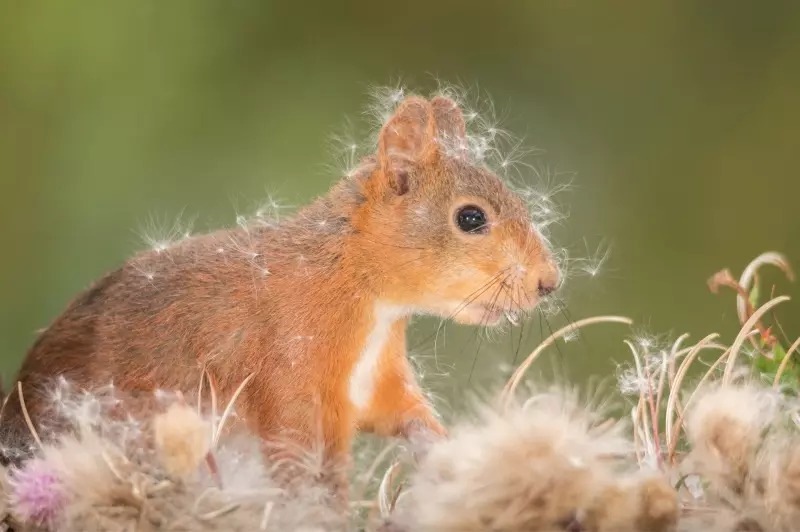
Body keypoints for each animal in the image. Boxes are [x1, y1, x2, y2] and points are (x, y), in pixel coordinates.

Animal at [0, 92, 560, 494]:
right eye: (471, 219)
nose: (550, 282)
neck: (360, 292)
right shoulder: (289, 378)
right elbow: (305, 467)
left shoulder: (376, 384)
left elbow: (406, 416)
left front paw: (449, 451)